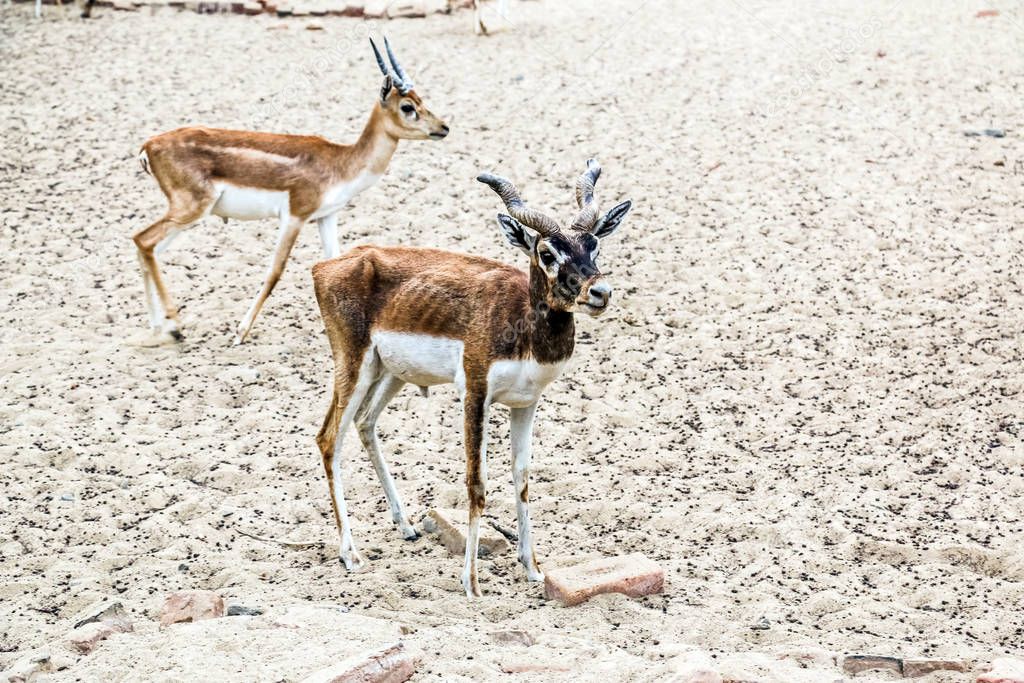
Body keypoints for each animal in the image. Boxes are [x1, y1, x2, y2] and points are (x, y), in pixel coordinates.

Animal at [133, 38, 448, 345]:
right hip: (190, 209)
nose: (444, 127)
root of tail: (148, 145)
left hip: (187, 215)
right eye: (407, 106)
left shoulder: (327, 216)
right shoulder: (295, 216)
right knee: (144, 240)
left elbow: (334, 261)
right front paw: (240, 333)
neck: (341, 163)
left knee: (147, 247)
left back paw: (158, 328)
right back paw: (174, 327)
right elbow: (276, 270)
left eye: (422, 100)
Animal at [311, 159, 632, 597]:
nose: (599, 292)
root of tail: (326, 267)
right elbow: (476, 485)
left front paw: (532, 568)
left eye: (594, 245)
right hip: (352, 364)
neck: (522, 322)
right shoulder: (475, 394)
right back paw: (351, 555)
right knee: (329, 439)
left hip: (387, 372)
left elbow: (522, 478)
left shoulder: (526, 403)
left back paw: (406, 526)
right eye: (546, 252)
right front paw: (472, 584)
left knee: (364, 423)